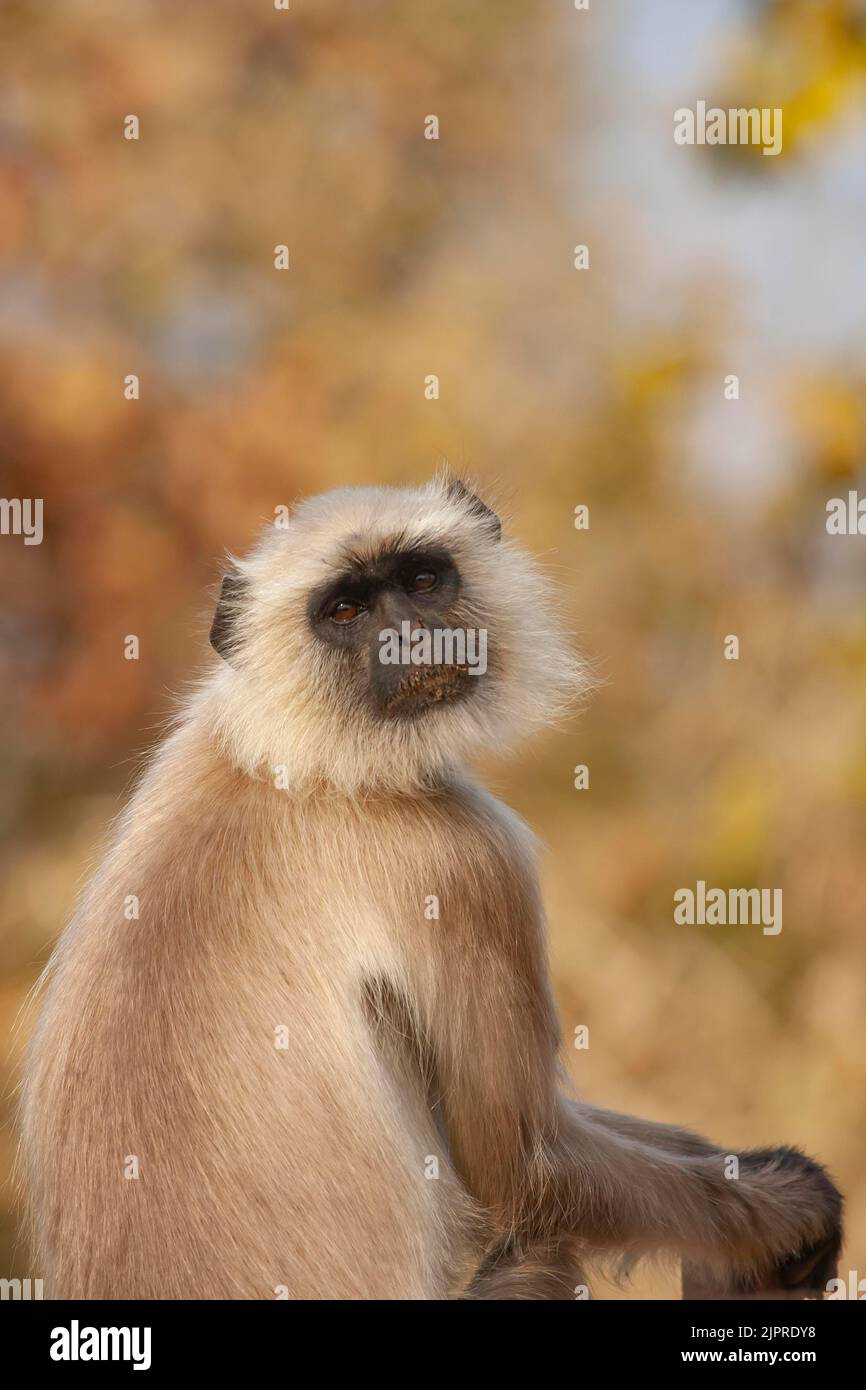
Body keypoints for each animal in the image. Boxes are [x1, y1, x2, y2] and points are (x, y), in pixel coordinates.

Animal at [19, 475, 842, 1300]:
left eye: (421, 580)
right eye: (346, 611)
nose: (414, 639)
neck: (301, 763)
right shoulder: (467, 857)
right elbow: (527, 1167)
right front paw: (788, 1213)